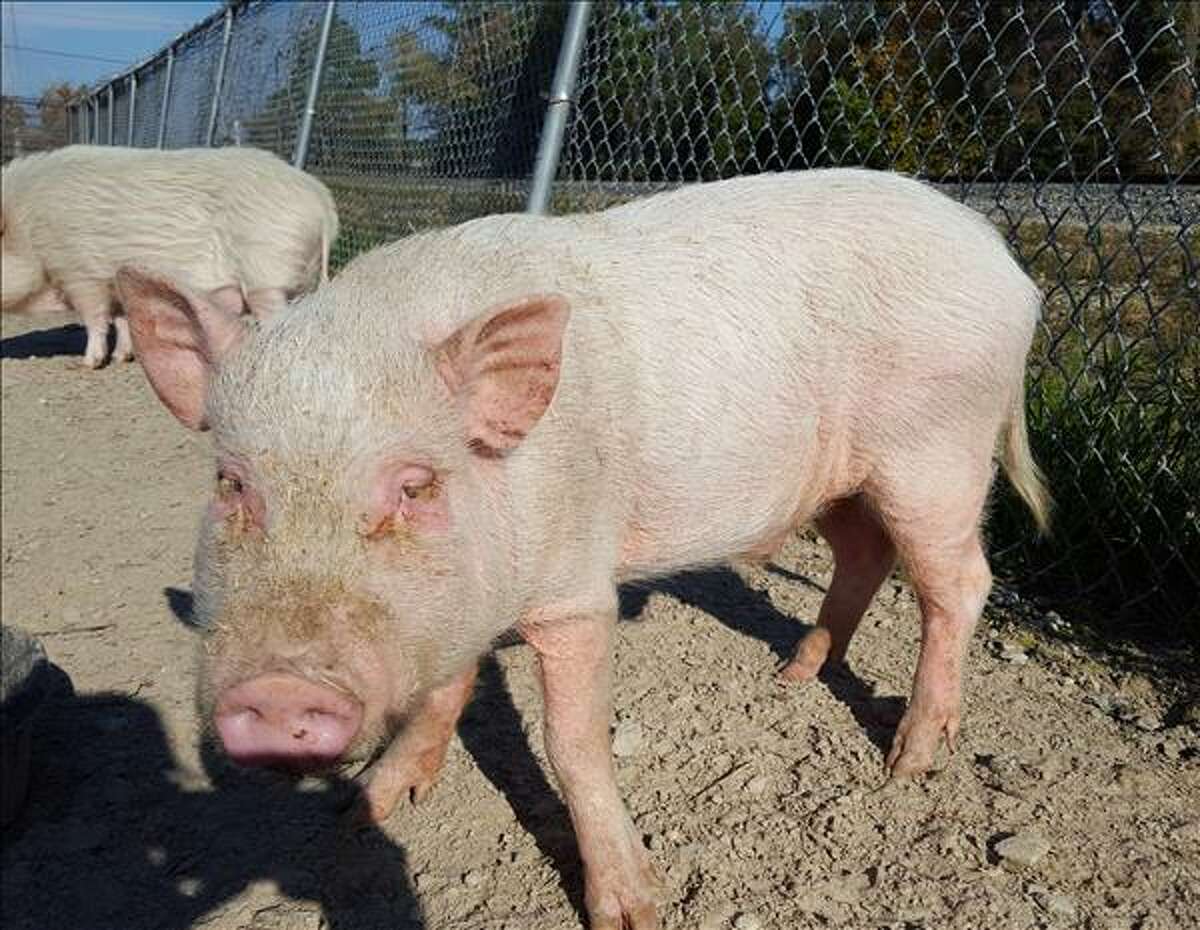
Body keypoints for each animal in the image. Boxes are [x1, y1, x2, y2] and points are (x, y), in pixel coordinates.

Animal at [1, 144, 338, 369]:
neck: (26, 226)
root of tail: (321, 202)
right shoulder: (111, 280)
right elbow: (121, 319)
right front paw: (122, 358)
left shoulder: (79, 271)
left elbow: (95, 318)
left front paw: (89, 363)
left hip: (266, 275)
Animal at [117, 168, 1050, 930]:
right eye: (232, 483)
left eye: (416, 487)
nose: (278, 693)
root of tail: (1003, 258)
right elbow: (442, 691)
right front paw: (367, 812)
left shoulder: (575, 589)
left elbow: (573, 743)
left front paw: (633, 911)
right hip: (840, 478)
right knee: (864, 555)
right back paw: (792, 675)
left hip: (936, 448)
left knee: (959, 582)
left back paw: (909, 761)